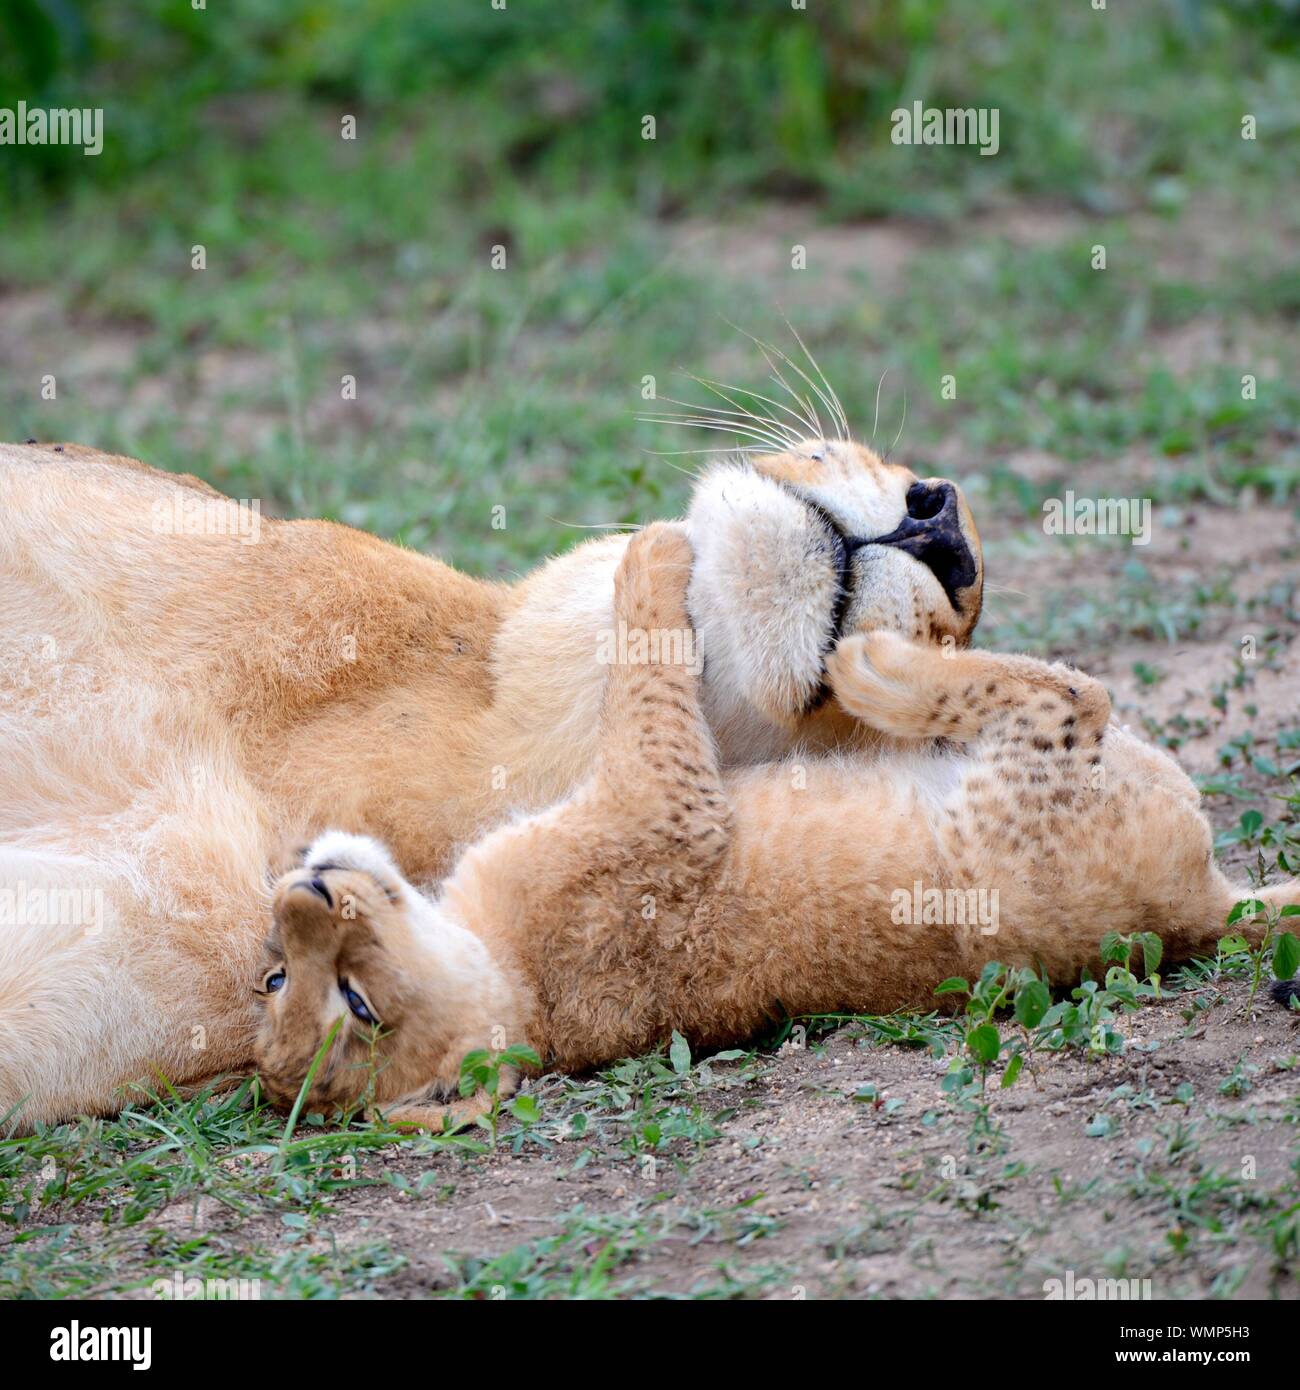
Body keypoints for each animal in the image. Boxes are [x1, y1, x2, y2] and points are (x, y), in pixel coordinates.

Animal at [253, 526, 1298, 1131]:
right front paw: (655, 550)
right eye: (356, 1007)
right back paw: (878, 667)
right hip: (1031, 785)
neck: (519, 989)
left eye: (276, 978)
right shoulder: (668, 803)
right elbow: (645, 682)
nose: (302, 888)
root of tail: (1199, 911)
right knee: (1075, 696)